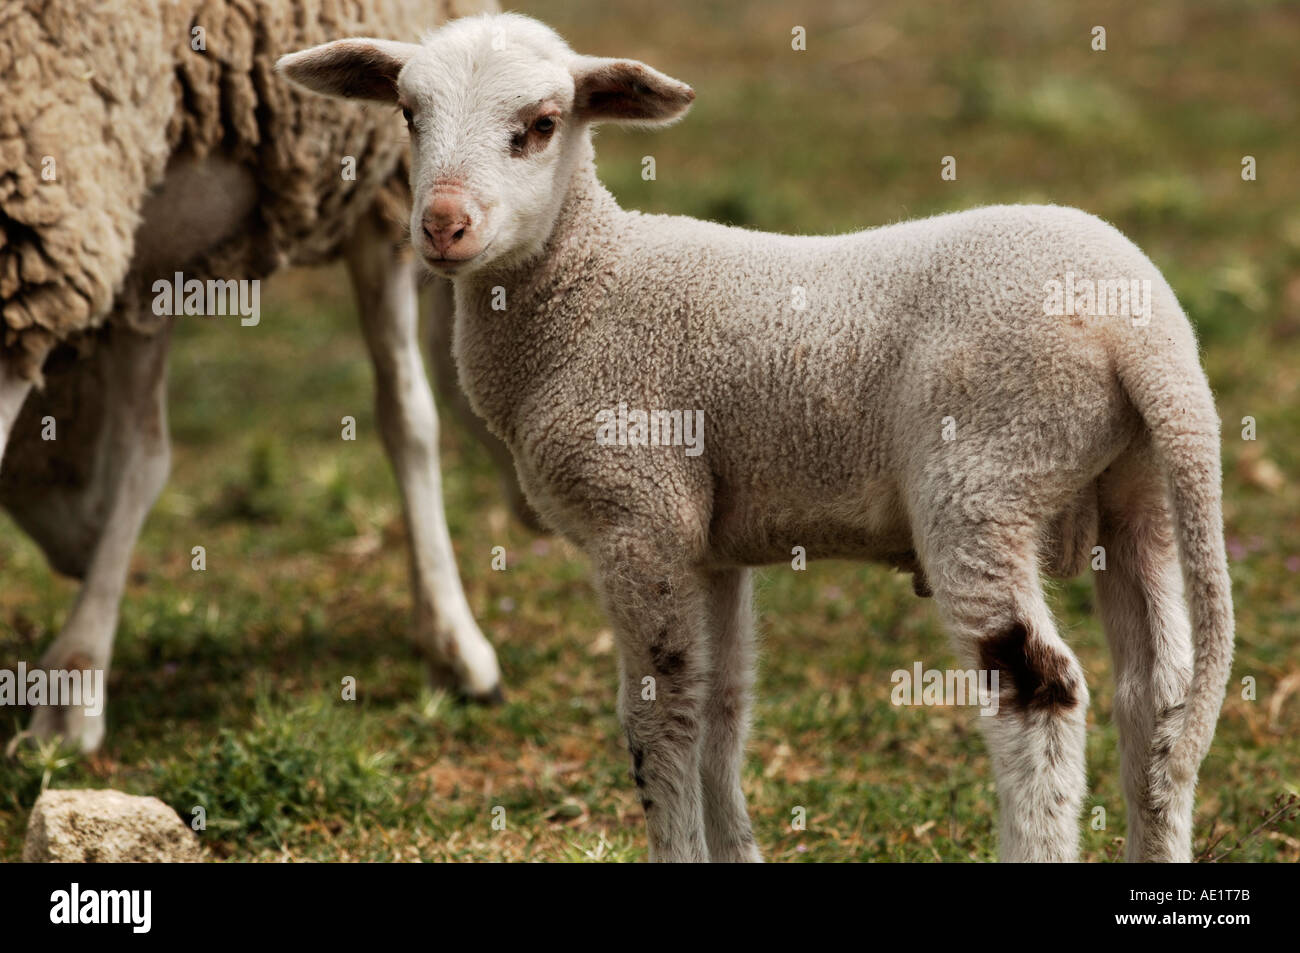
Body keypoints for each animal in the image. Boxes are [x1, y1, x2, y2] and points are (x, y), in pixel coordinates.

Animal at [0, 0, 511, 754]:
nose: (78, 554)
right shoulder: (382, 186)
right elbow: (409, 417)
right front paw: (456, 642)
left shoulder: (151, 253)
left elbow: (141, 459)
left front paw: (77, 670)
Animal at [281, 12, 1236, 863]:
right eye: (409, 114)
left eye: (542, 125)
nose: (441, 226)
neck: (590, 287)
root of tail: (1146, 333)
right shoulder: (710, 545)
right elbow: (722, 710)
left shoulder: (640, 515)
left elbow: (657, 719)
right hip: (1136, 494)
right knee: (1157, 696)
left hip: (983, 478)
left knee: (1039, 692)